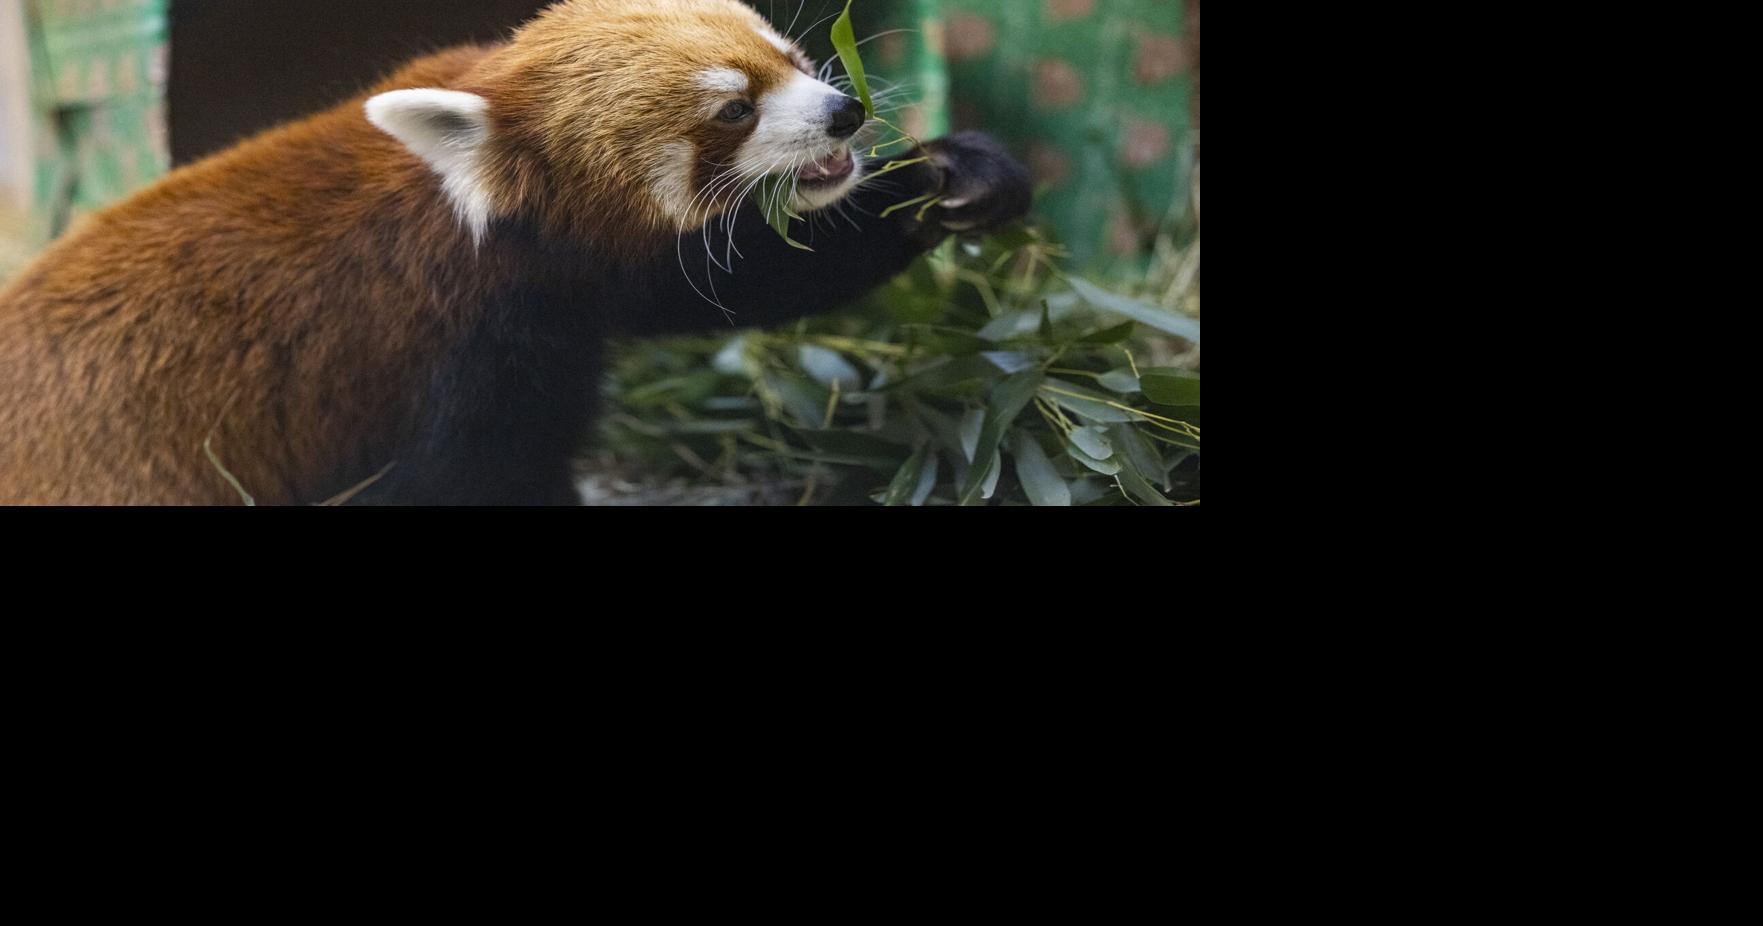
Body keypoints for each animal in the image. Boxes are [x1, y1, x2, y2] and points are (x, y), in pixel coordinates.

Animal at [0, 0, 1031, 505]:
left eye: (789, 52)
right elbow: (471, 475)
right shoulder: (456, 342)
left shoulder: (595, 277)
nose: (845, 110)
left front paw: (955, 175)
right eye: (734, 108)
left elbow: (751, 278)